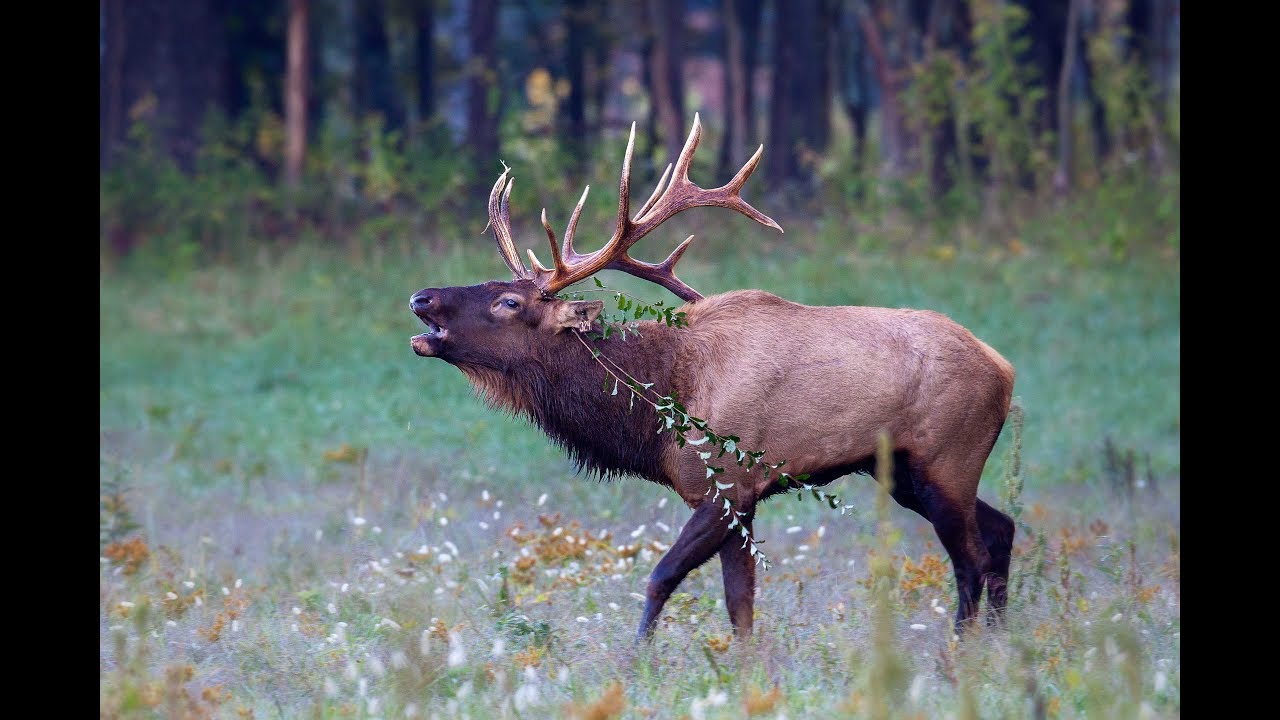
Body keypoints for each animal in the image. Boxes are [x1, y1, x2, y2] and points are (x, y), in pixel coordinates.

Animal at [409, 115, 1017, 642]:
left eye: (510, 302)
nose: (421, 297)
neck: (661, 407)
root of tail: (1005, 370)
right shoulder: (739, 501)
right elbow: (740, 605)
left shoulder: (727, 484)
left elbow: (662, 579)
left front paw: (636, 661)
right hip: (907, 472)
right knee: (1002, 530)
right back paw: (998, 643)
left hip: (947, 459)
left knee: (971, 561)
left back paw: (960, 655)